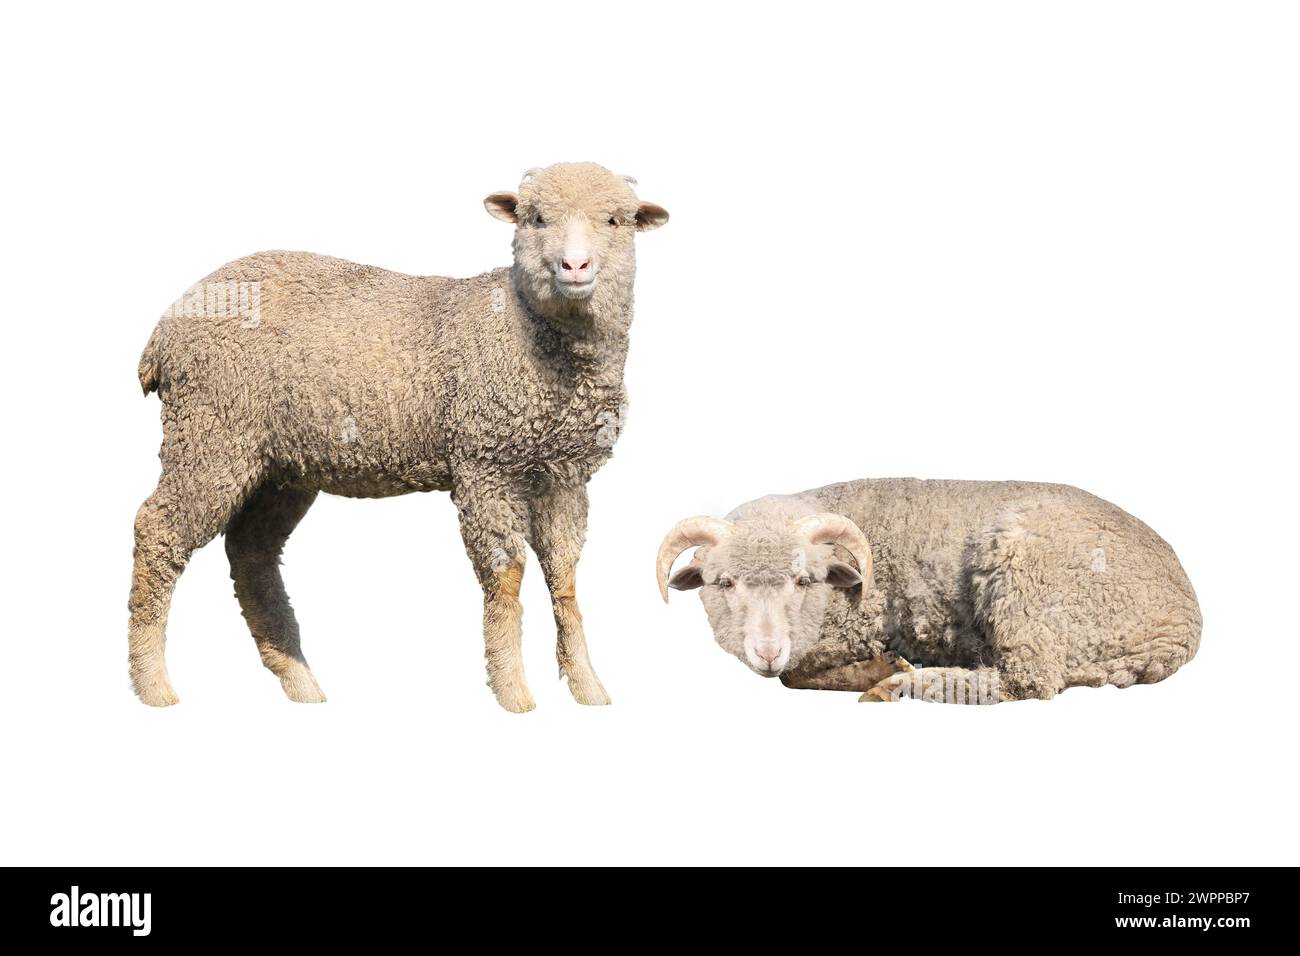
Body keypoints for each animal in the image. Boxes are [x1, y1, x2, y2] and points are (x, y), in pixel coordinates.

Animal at [131, 162, 669, 712]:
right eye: (536, 218)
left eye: (615, 220)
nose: (575, 265)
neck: (527, 332)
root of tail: (166, 327)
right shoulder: (484, 464)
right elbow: (506, 577)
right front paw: (514, 692)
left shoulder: (565, 476)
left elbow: (565, 579)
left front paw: (588, 687)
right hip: (212, 431)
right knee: (158, 530)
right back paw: (153, 682)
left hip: (279, 465)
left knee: (251, 553)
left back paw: (300, 680)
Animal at [656, 479, 1200, 703]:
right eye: (723, 583)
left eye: (804, 580)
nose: (767, 651)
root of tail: (1185, 619)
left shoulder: (857, 624)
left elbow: (795, 676)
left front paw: (878, 669)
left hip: (1027, 583)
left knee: (1029, 681)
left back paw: (906, 683)